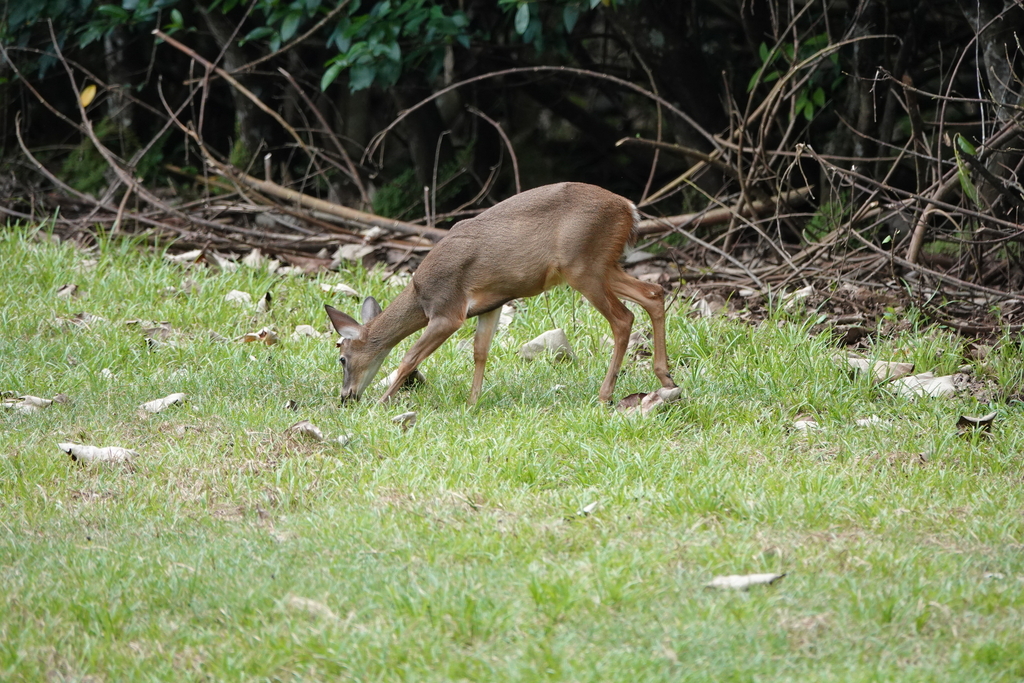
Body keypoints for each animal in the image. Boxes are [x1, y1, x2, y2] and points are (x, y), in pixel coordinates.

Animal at [325, 182, 677, 405]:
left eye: (342, 358)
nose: (345, 397)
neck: (420, 296)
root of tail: (629, 208)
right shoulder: (490, 304)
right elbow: (480, 351)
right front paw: (472, 402)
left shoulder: (448, 311)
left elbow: (410, 357)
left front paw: (381, 402)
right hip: (600, 264)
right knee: (653, 292)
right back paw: (666, 379)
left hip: (583, 266)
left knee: (623, 318)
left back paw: (606, 395)